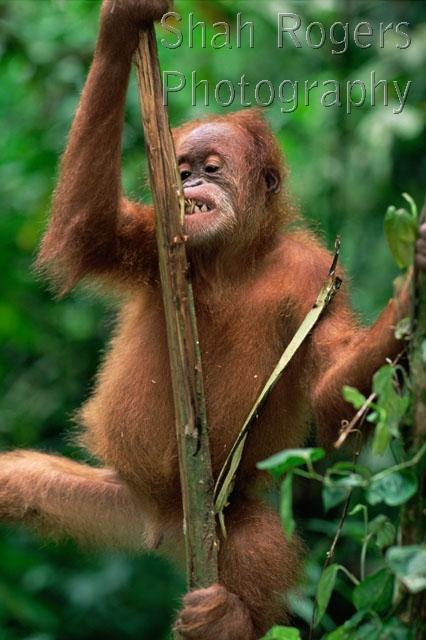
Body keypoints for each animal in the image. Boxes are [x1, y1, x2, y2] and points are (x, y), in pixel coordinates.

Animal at [1, 1, 426, 638]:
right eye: (180, 172)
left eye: (212, 167)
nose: (193, 183)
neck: (228, 257)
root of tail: (164, 530)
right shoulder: (152, 235)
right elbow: (86, 229)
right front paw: (122, 25)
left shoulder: (317, 280)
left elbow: (334, 397)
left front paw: (412, 286)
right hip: (113, 502)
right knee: (19, 483)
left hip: (226, 517)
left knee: (257, 542)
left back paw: (225, 617)